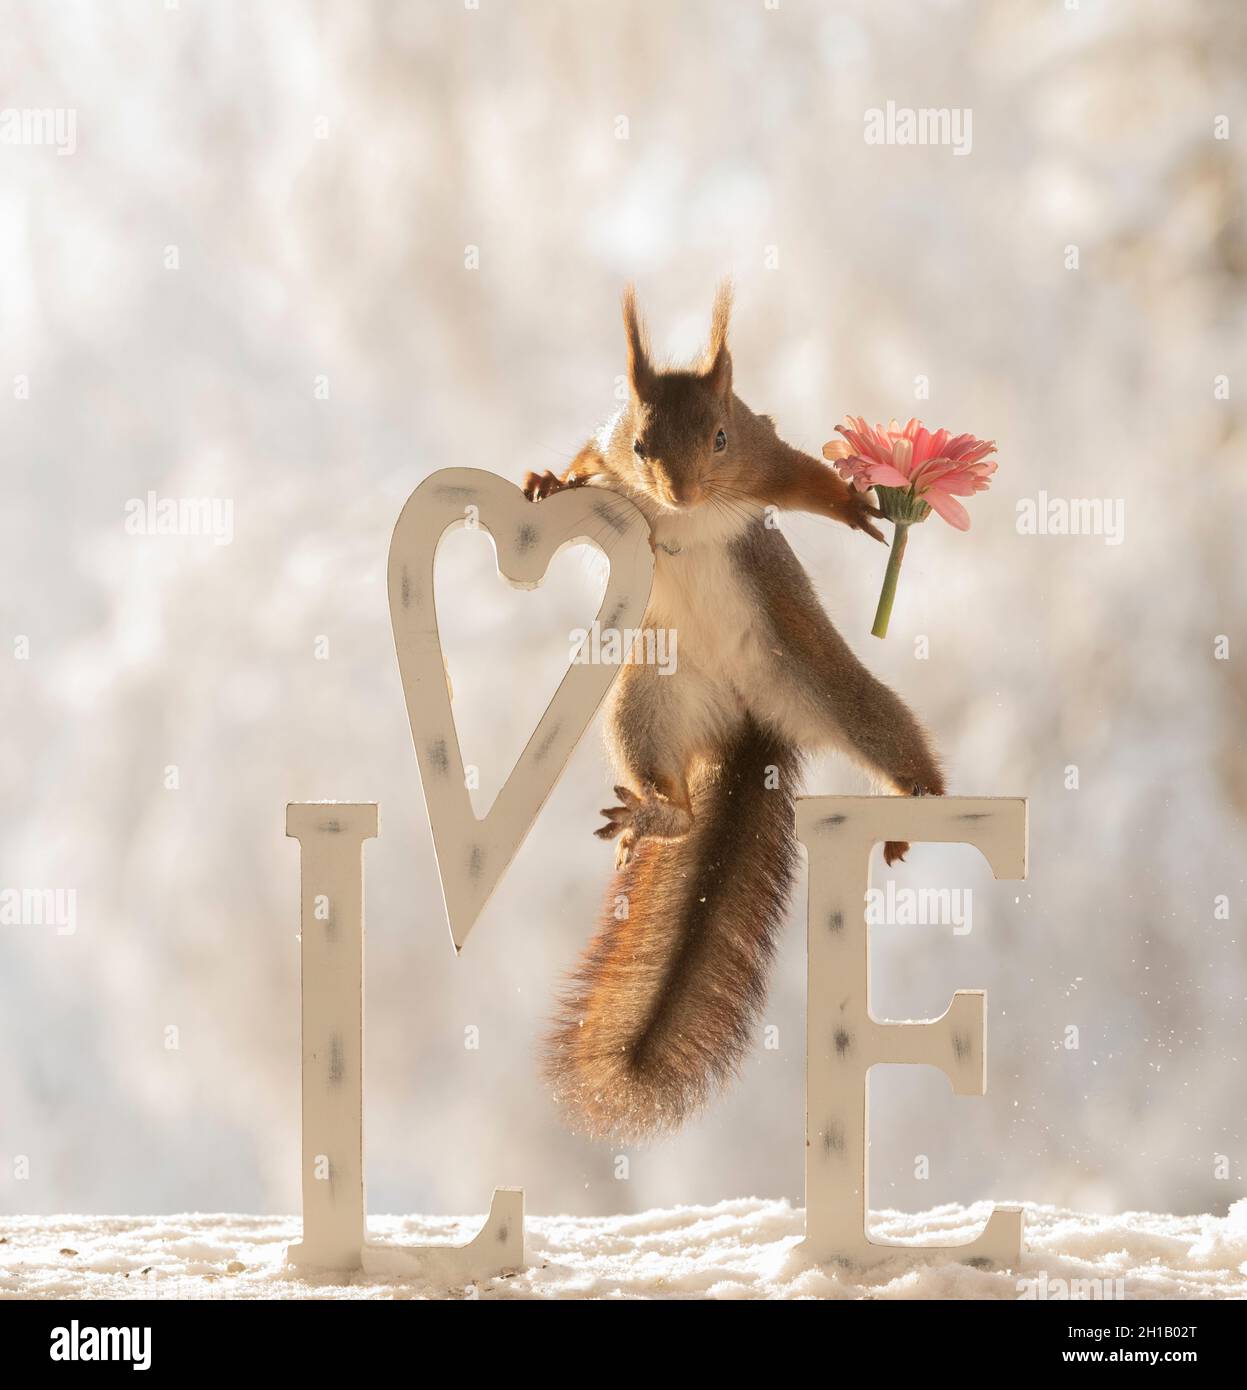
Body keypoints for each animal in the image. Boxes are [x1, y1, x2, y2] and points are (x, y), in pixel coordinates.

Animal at [522, 284, 945, 1143]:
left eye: (721, 435)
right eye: (642, 441)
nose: (679, 494)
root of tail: (752, 726)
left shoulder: (760, 458)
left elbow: (801, 476)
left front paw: (859, 508)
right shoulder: (609, 454)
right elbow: (585, 462)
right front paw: (548, 481)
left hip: (824, 684)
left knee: (886, 732)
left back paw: (915, 794)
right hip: (645, 700)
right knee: (677, 796)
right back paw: (662, 815)